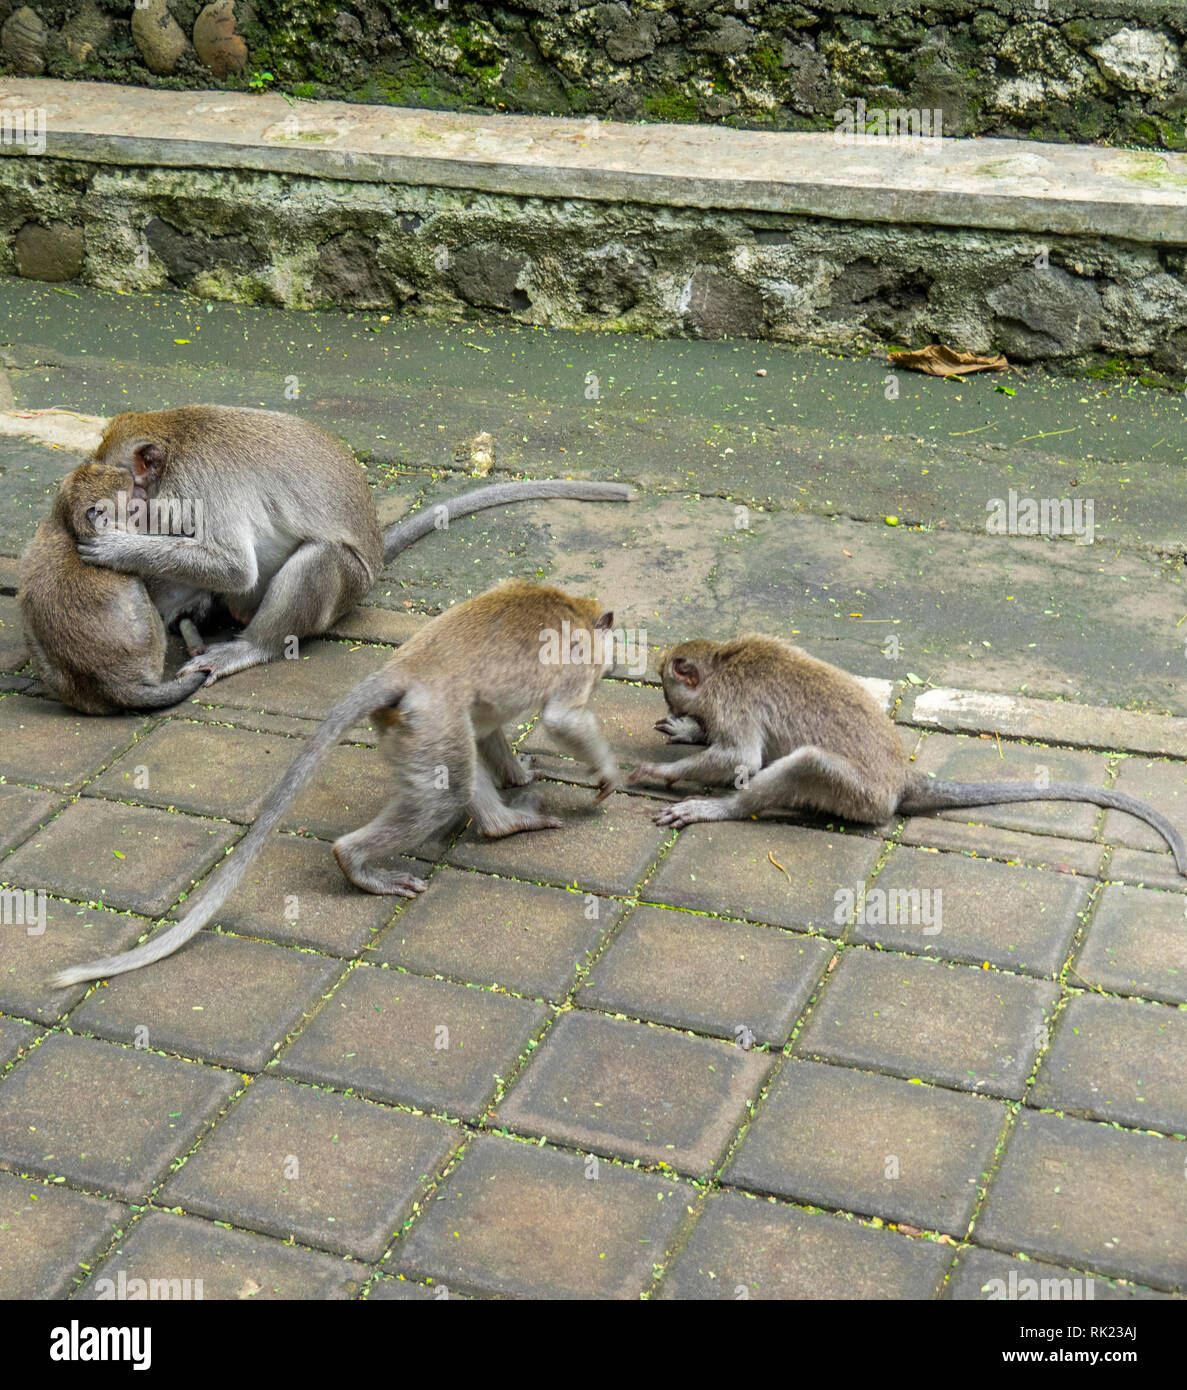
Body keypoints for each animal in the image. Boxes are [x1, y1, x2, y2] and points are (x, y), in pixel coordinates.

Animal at [49, 580, 622, 987]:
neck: (574, 606)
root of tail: (405, 670)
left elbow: (491, 731)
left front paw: (520, 772)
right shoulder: (579, 663)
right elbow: (563, 719)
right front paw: (610, 775)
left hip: (414, 724)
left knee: (458, 758)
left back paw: (502, 825)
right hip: (429, 720)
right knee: (443, 793)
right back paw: (356, 862)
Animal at [73, 405, 631, 687]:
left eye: (120, 485)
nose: (116, 512)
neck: (177, 440)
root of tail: (378, 558)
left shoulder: (199, 484)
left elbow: (233, 566)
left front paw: (117, 549)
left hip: (344, 587)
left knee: (318, 561)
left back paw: (251, 647)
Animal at [627, 635, 1187, 874]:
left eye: (666, 688)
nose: (669, 705)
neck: (724, 659)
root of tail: (902, 777)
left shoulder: (732, 703)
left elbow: (741, 758)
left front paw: (661, 769)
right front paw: (686, 732)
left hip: (861, 797)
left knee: (807, 762)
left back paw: (723, 809)